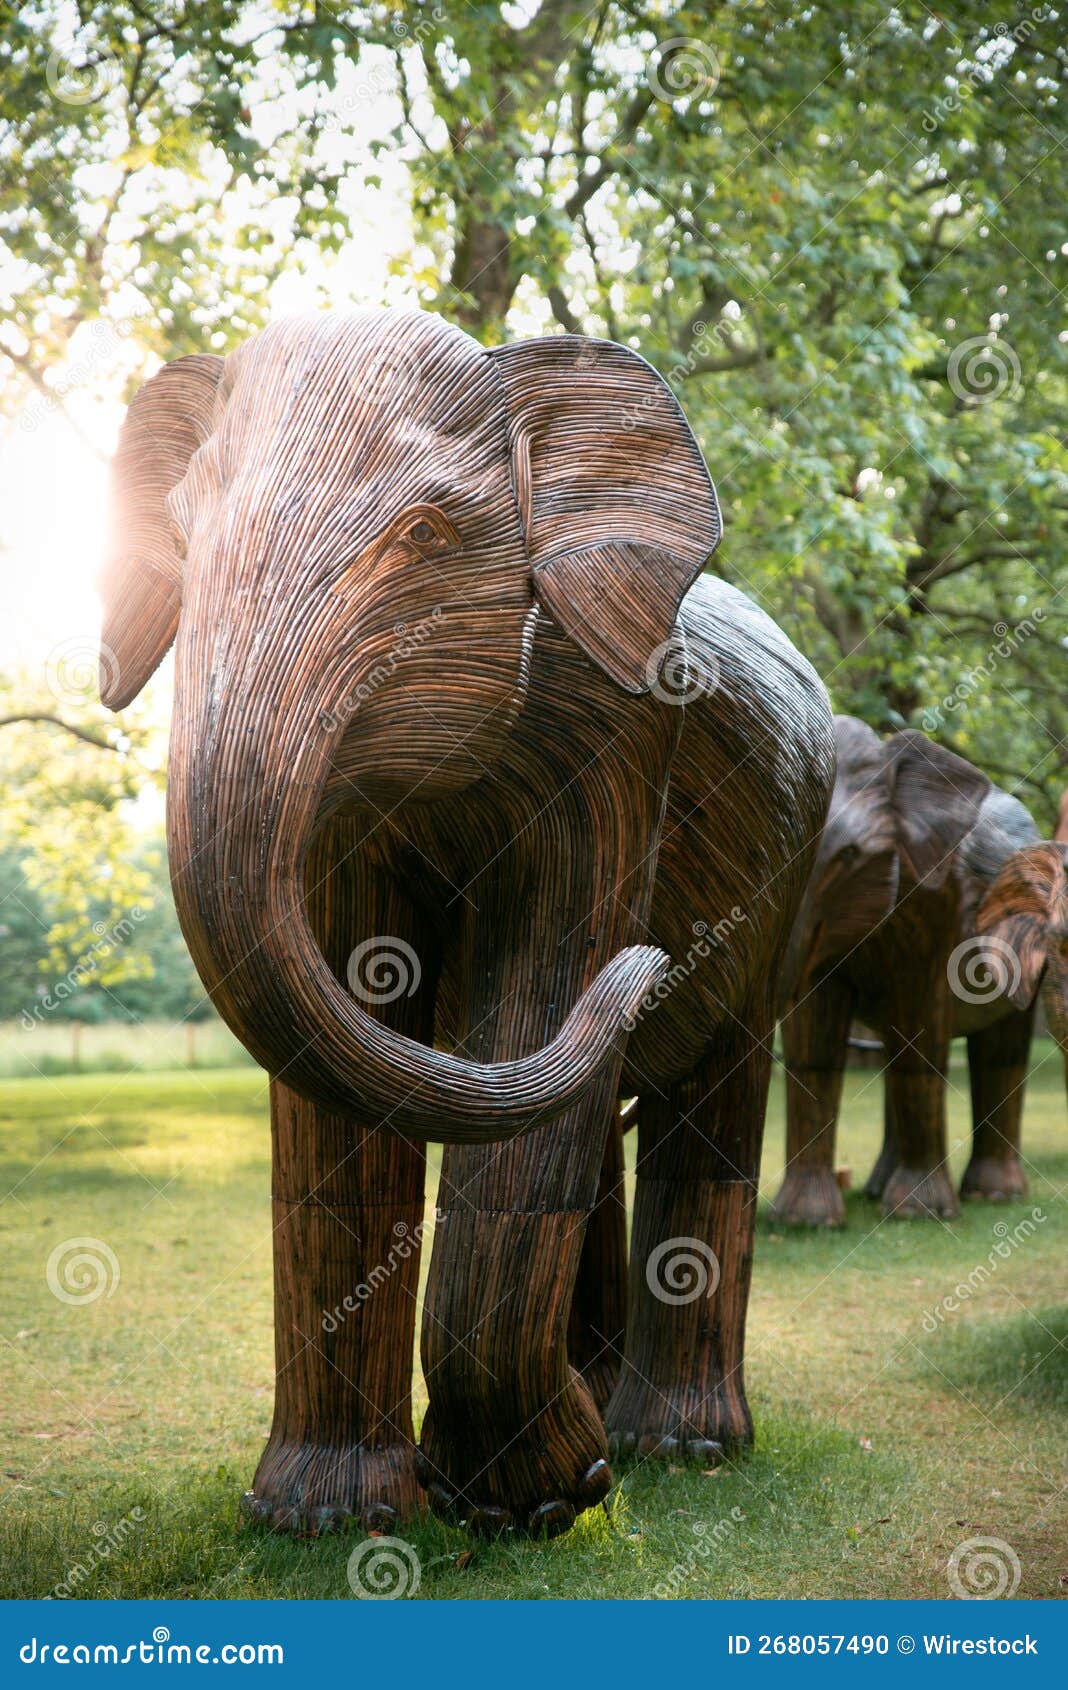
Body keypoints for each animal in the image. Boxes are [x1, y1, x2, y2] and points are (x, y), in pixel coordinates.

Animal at [98, 309, 835, 1537]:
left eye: (427, 530)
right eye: (186, 535)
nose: (651, 962)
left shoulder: (614, 744)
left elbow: (538, 1002)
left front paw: (531, 1502)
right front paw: (325, 1519)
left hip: (787, 882)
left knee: (708, 1097)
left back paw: (675, 1446)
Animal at [769, 715, 1066, 1228]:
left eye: (849, 854)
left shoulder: (934, 906)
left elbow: (920, 1030)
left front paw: (922, 1214)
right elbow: (812, 1043)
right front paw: (804, 1222)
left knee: (1001, 1050)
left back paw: (994, 1195)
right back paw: (874, 1191)